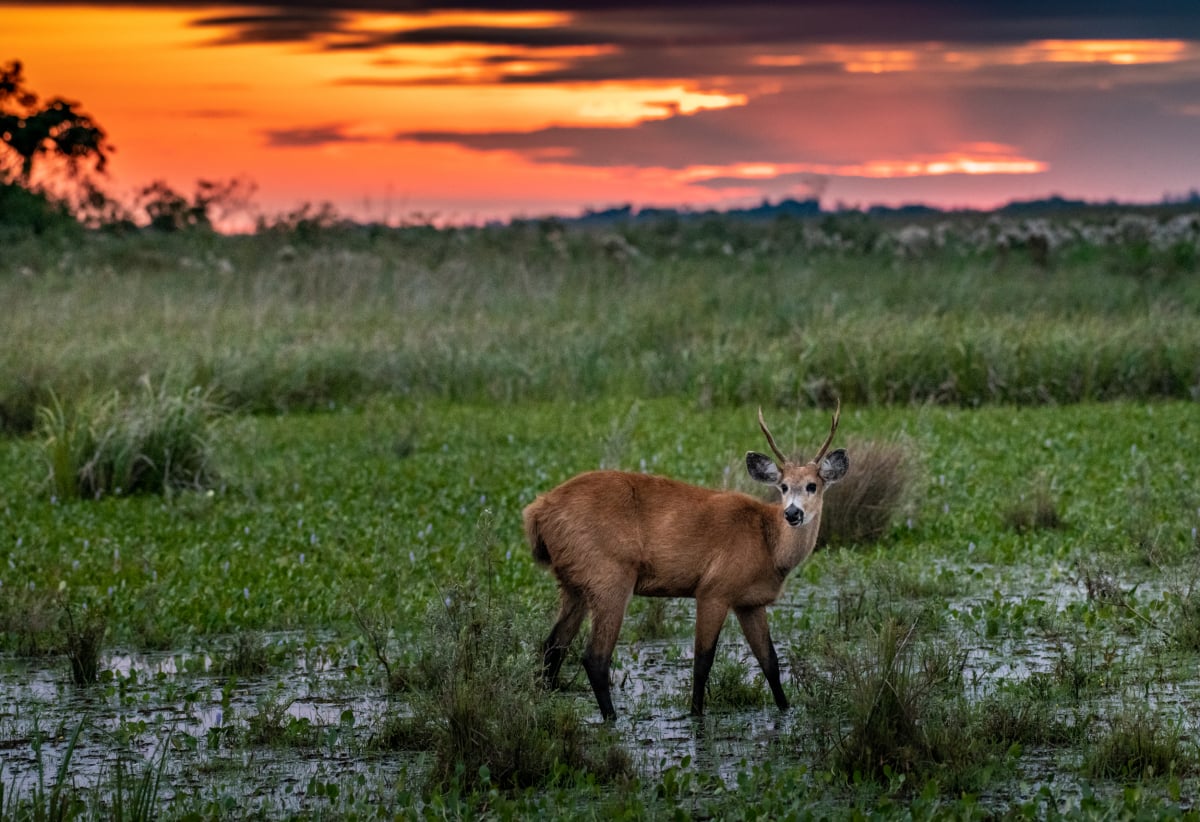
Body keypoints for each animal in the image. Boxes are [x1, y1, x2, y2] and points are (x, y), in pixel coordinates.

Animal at [523, 403, 847, 720]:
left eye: (812, 485)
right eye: (783, 486)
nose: (792, 514)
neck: (769, 545)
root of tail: (536, 511)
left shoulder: (750, 602)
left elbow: (770, 661)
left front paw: (786, 710)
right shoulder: (713, 589)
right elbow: (703, 661)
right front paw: (695, 715)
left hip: (574, 583)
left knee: (552, 647)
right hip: (609, 576)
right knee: (594, 657)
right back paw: (612, 719)